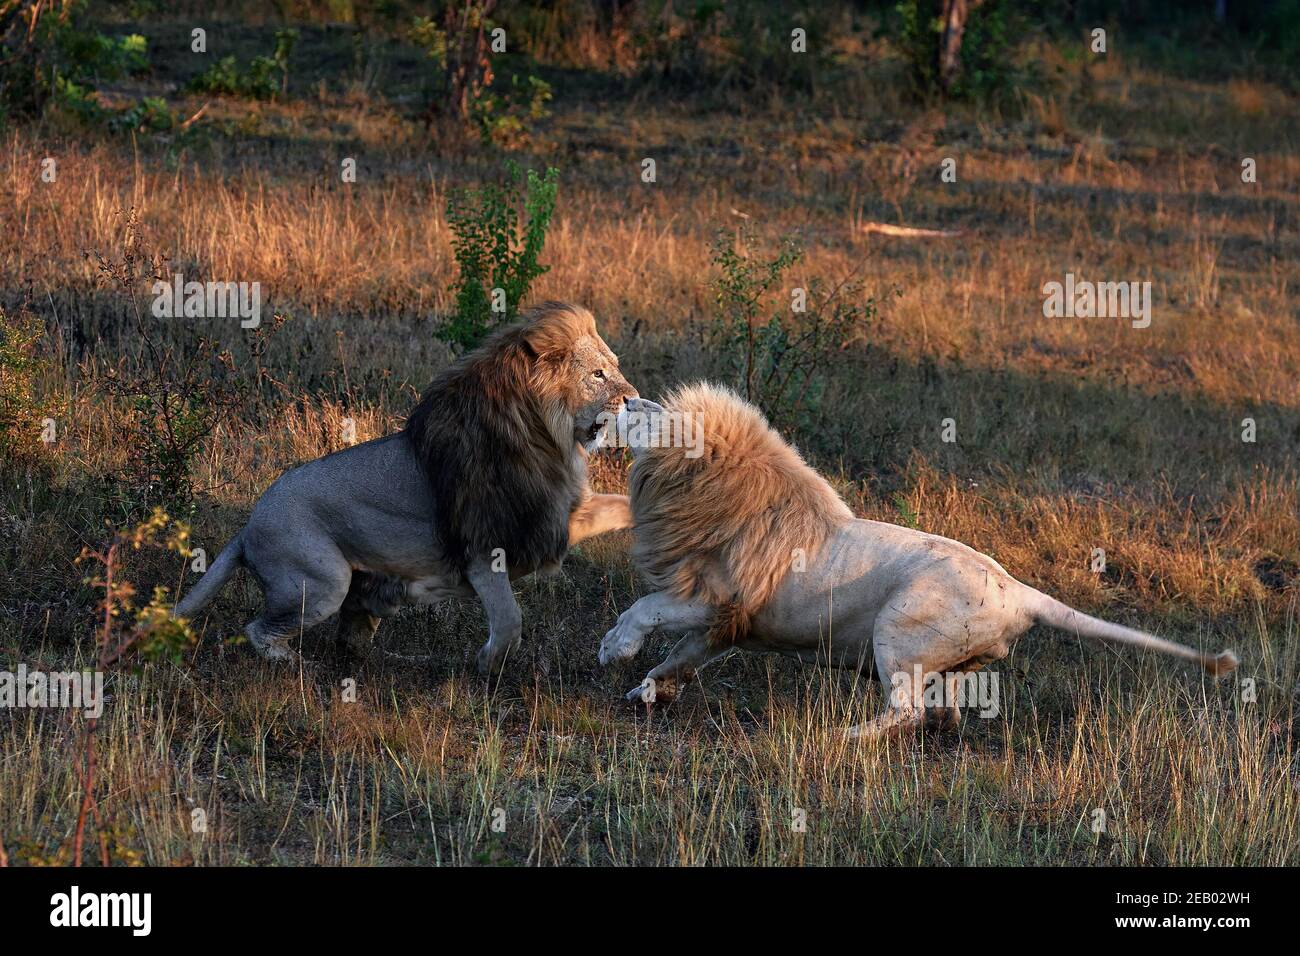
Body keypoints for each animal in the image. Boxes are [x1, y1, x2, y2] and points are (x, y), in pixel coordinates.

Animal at [175, 302, 637, 673]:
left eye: (615, 365)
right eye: (598, 374)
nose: (633, 398)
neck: (545, 435)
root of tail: (247, 527)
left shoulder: (555, 515)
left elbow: (621, 504)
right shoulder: (484, 549)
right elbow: (510, 621)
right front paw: (488, 665)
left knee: (352, 641)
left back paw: (404, 660)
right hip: (322, 581)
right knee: (258, 629)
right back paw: (295, 664)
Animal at [600, 383, 1238, 736]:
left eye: (653, 413)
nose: (625, 397)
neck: (700, 491)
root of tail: (1019, 590)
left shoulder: (721, 600)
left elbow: (645, 607)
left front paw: (614, 650)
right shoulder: (727, 625)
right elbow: (680, 658)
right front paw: (646, 693)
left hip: (896, 630)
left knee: (904, 712)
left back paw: (848, 738)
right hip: (949, 660)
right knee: (944, 711)